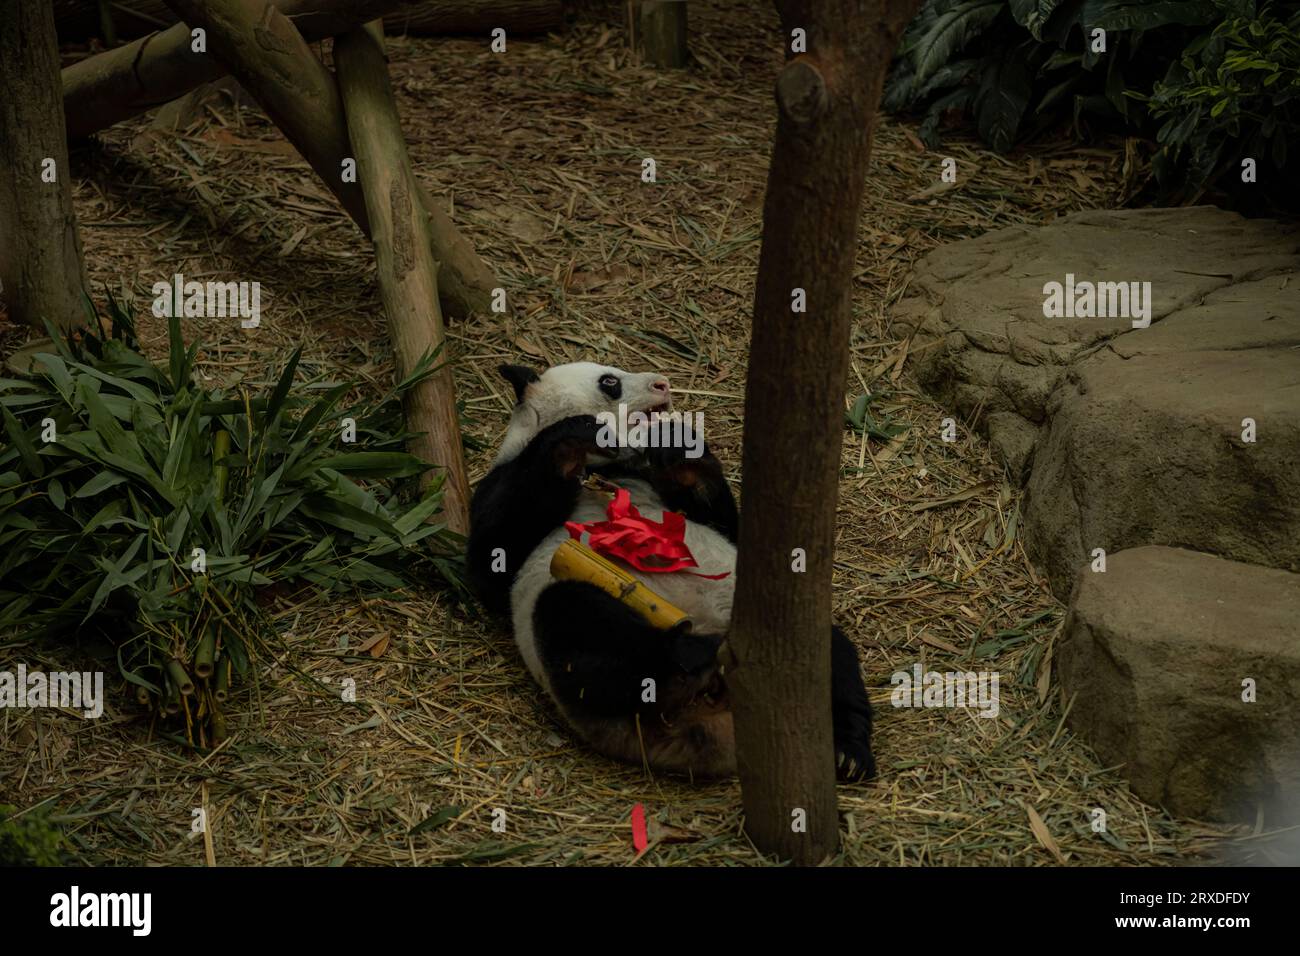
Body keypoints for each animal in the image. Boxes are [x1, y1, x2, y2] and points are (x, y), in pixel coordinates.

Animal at [467, 361, 876, 782]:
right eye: (609, 381)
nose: (662, 383)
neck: (613, 471)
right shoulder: (506, 482)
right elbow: (492, 561)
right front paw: (577, 436)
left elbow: (727, 522)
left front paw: (676, 441)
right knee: (583, 628)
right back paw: (690, 652)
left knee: (830, 655)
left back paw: (847, 752)